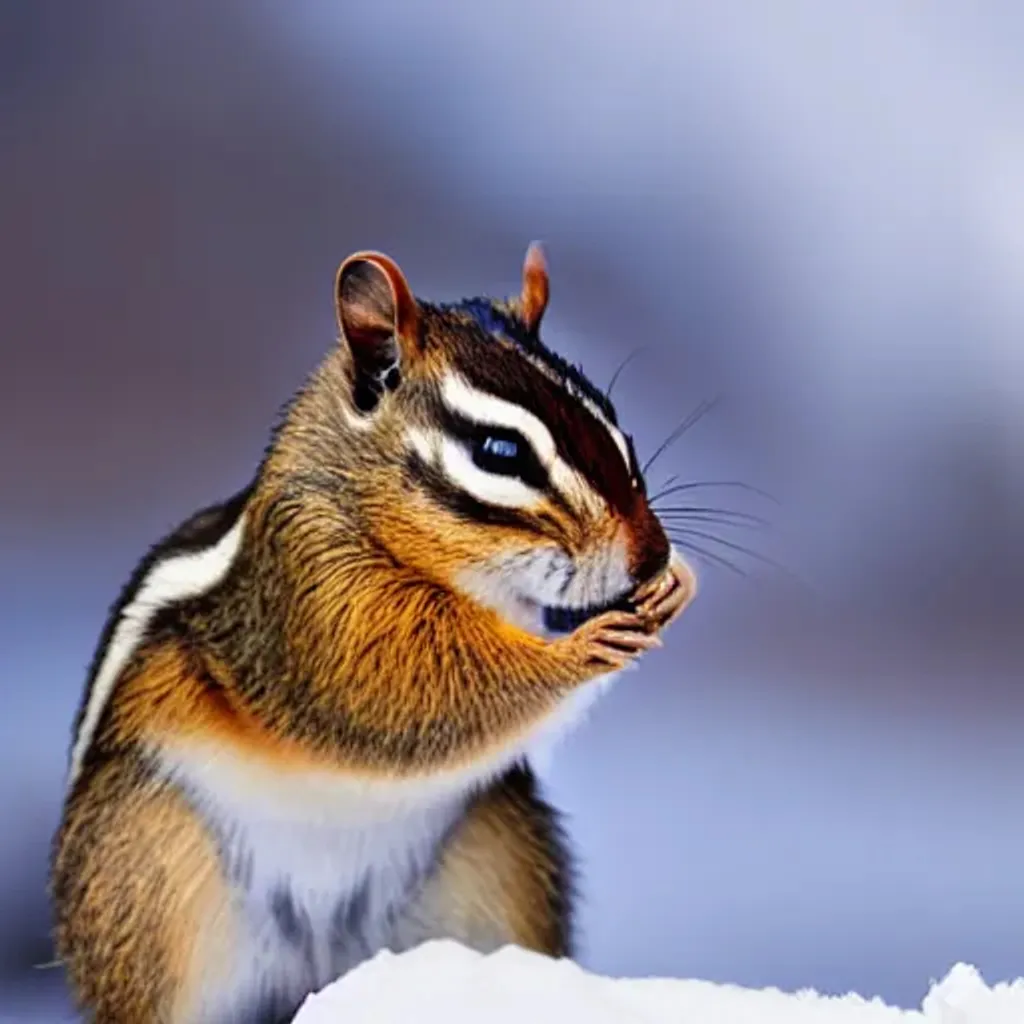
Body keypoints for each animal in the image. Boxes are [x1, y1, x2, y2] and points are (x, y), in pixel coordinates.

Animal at [50, 243, 696, 1024]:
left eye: (614, 423)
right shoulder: (316, 599)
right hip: (152, 886)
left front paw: (673, 586)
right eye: (500, 452)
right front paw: (581, 649)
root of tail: (321, 964)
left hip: (499, 866)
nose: (652, 554)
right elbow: (409, 692)